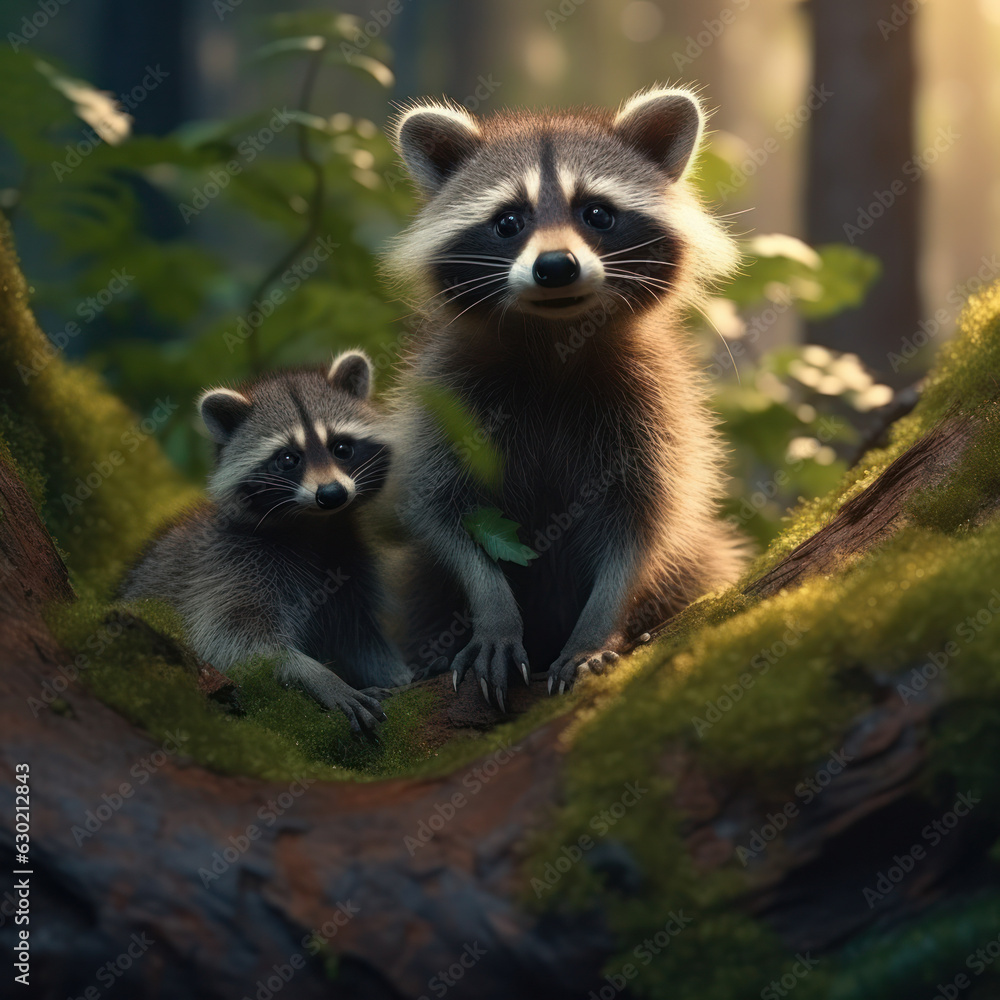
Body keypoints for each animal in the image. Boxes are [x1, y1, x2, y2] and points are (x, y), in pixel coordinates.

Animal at [121, 352, 408, 734]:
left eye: (342, 448)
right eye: (287, 459)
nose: (332, 494)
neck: (314, 525)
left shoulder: (347, 560)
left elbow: (359, 635)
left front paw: (395, 673)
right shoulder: (230, 567)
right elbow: (231, 642)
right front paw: (319, 676)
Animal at [382, 86, 747, 708]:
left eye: (596, 213)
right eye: (509, 221)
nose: (555, 266)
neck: (556, 341)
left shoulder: (653, 405)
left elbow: (644, 526)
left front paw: (596, 632)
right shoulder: (448, 402)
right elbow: (442, 514)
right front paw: (495, 616)